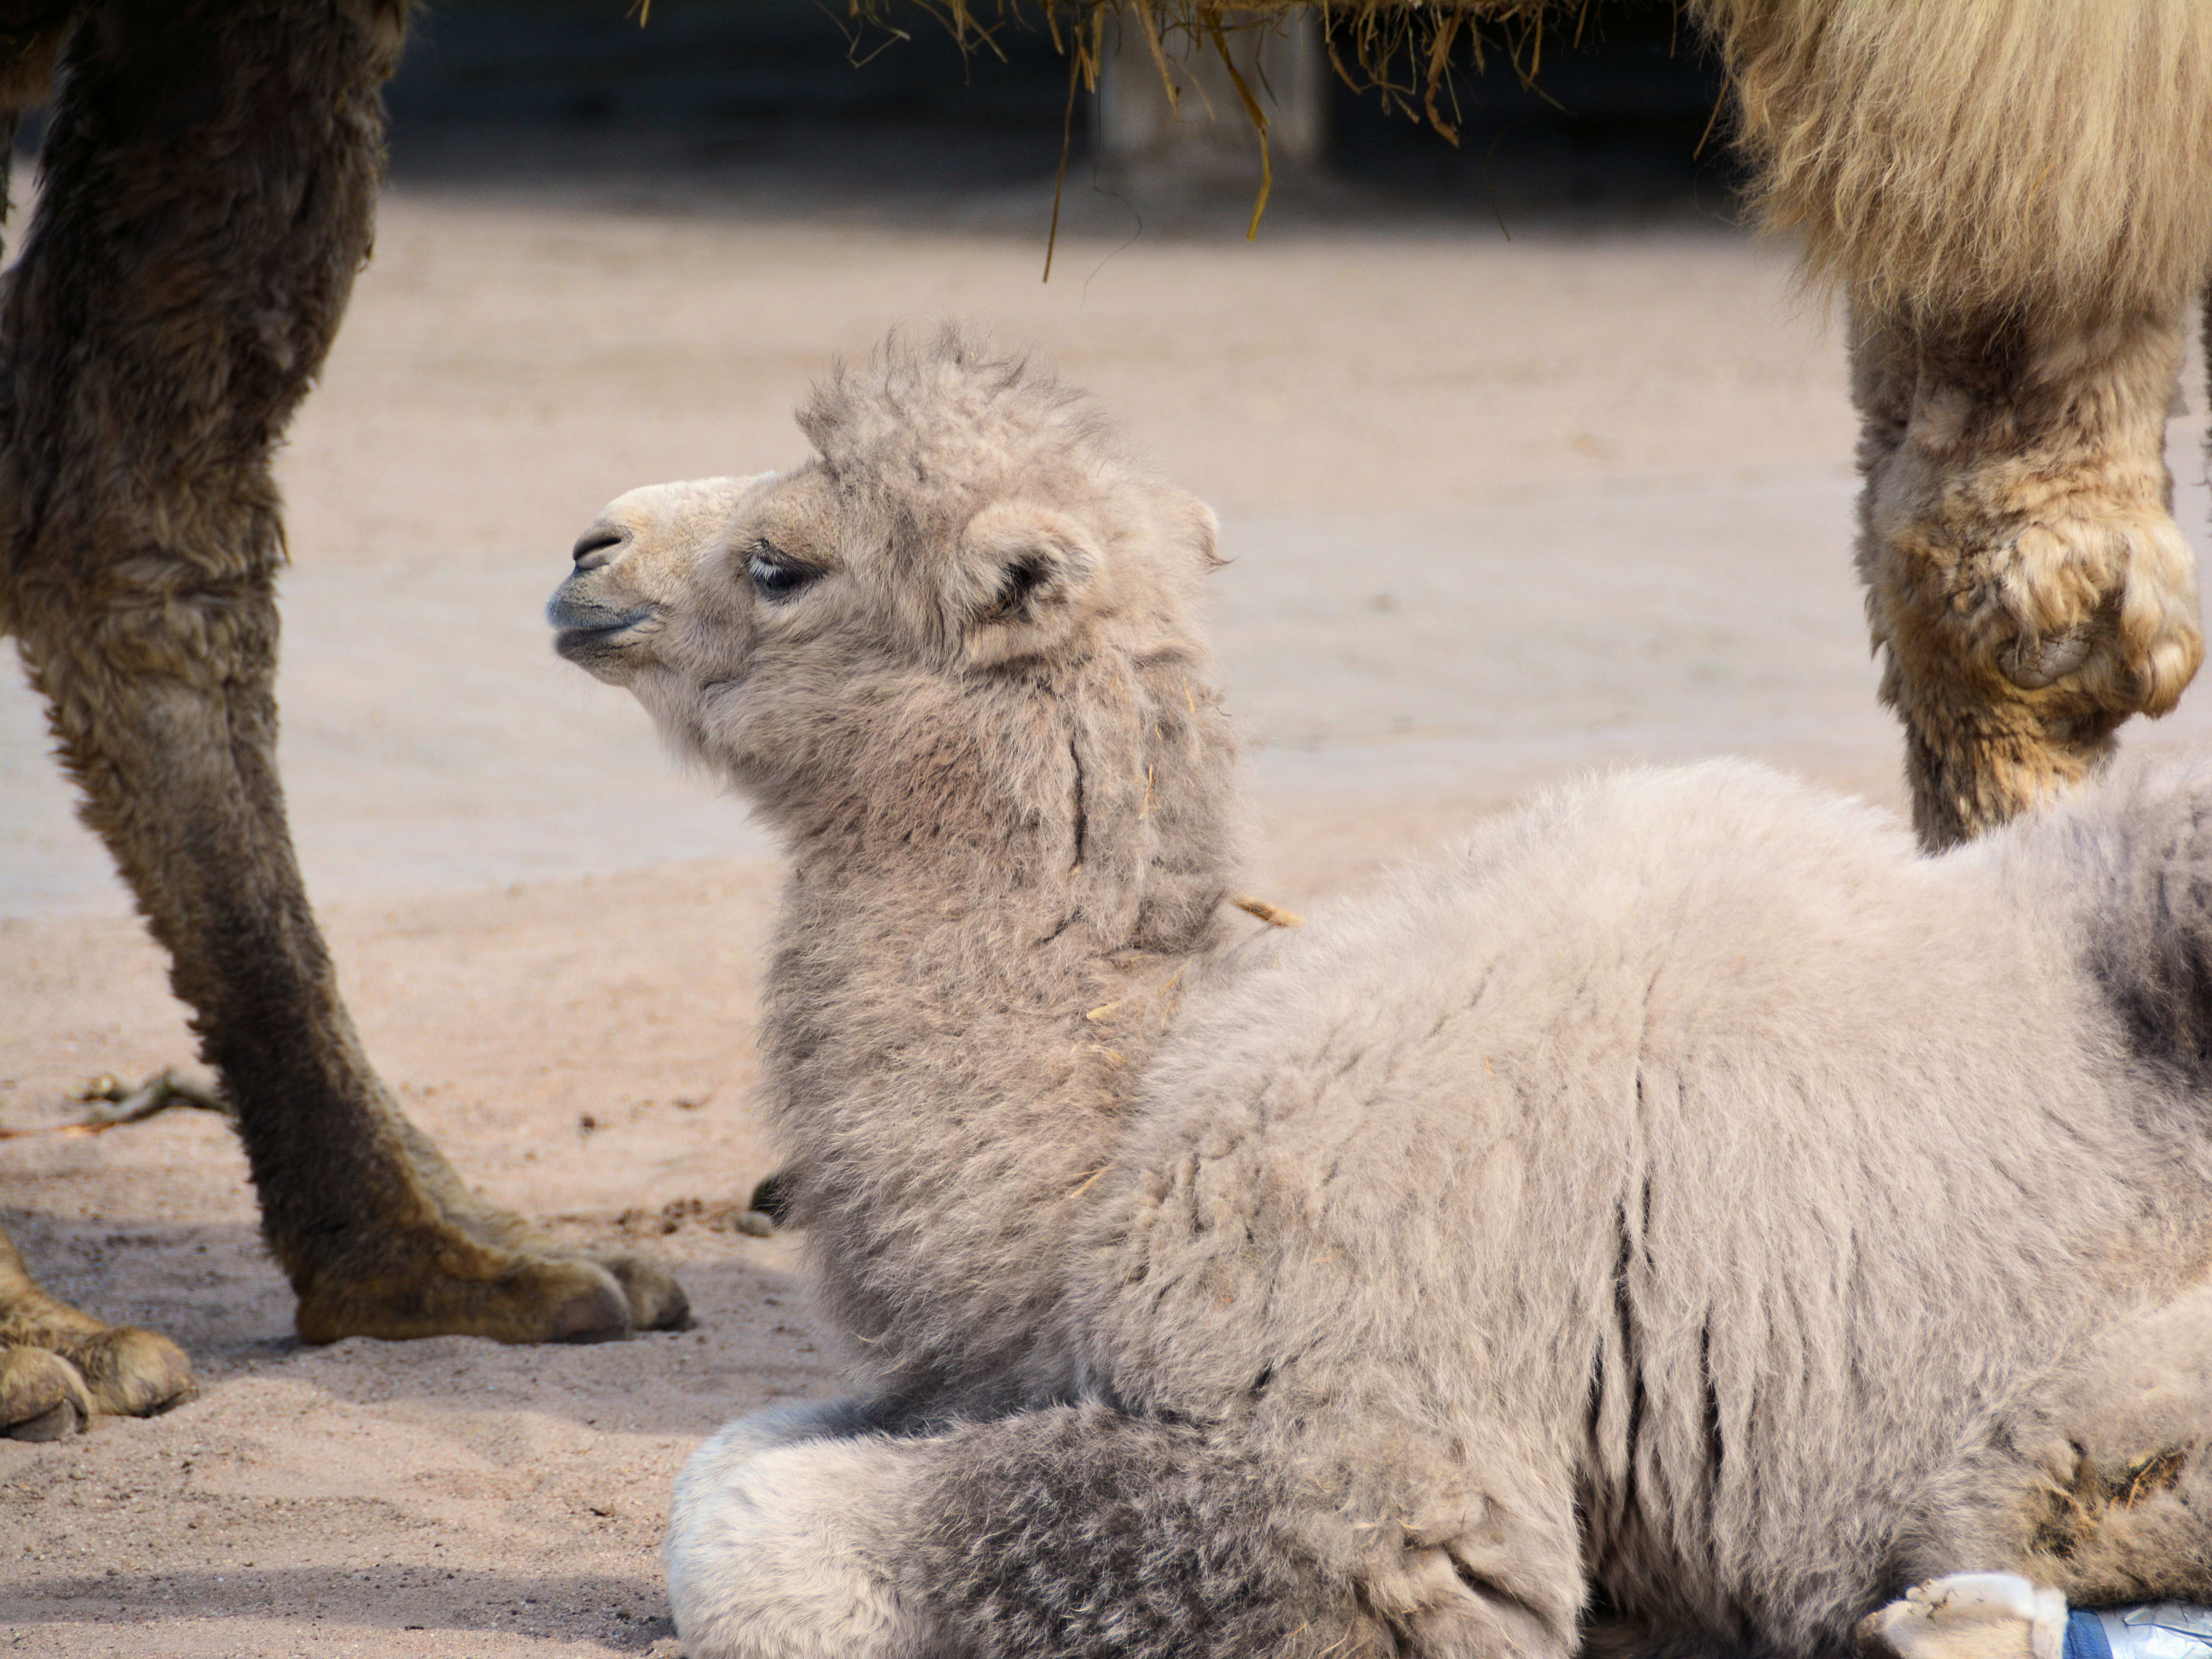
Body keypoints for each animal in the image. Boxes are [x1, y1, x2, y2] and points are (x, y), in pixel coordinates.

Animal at [556, 332, 2212, 1659]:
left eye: (785, 562)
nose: (586, 554)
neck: (1127, 1131)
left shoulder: (1357, 1462)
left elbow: (750, 1525)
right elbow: (733, 1456)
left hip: (2070, 1411)